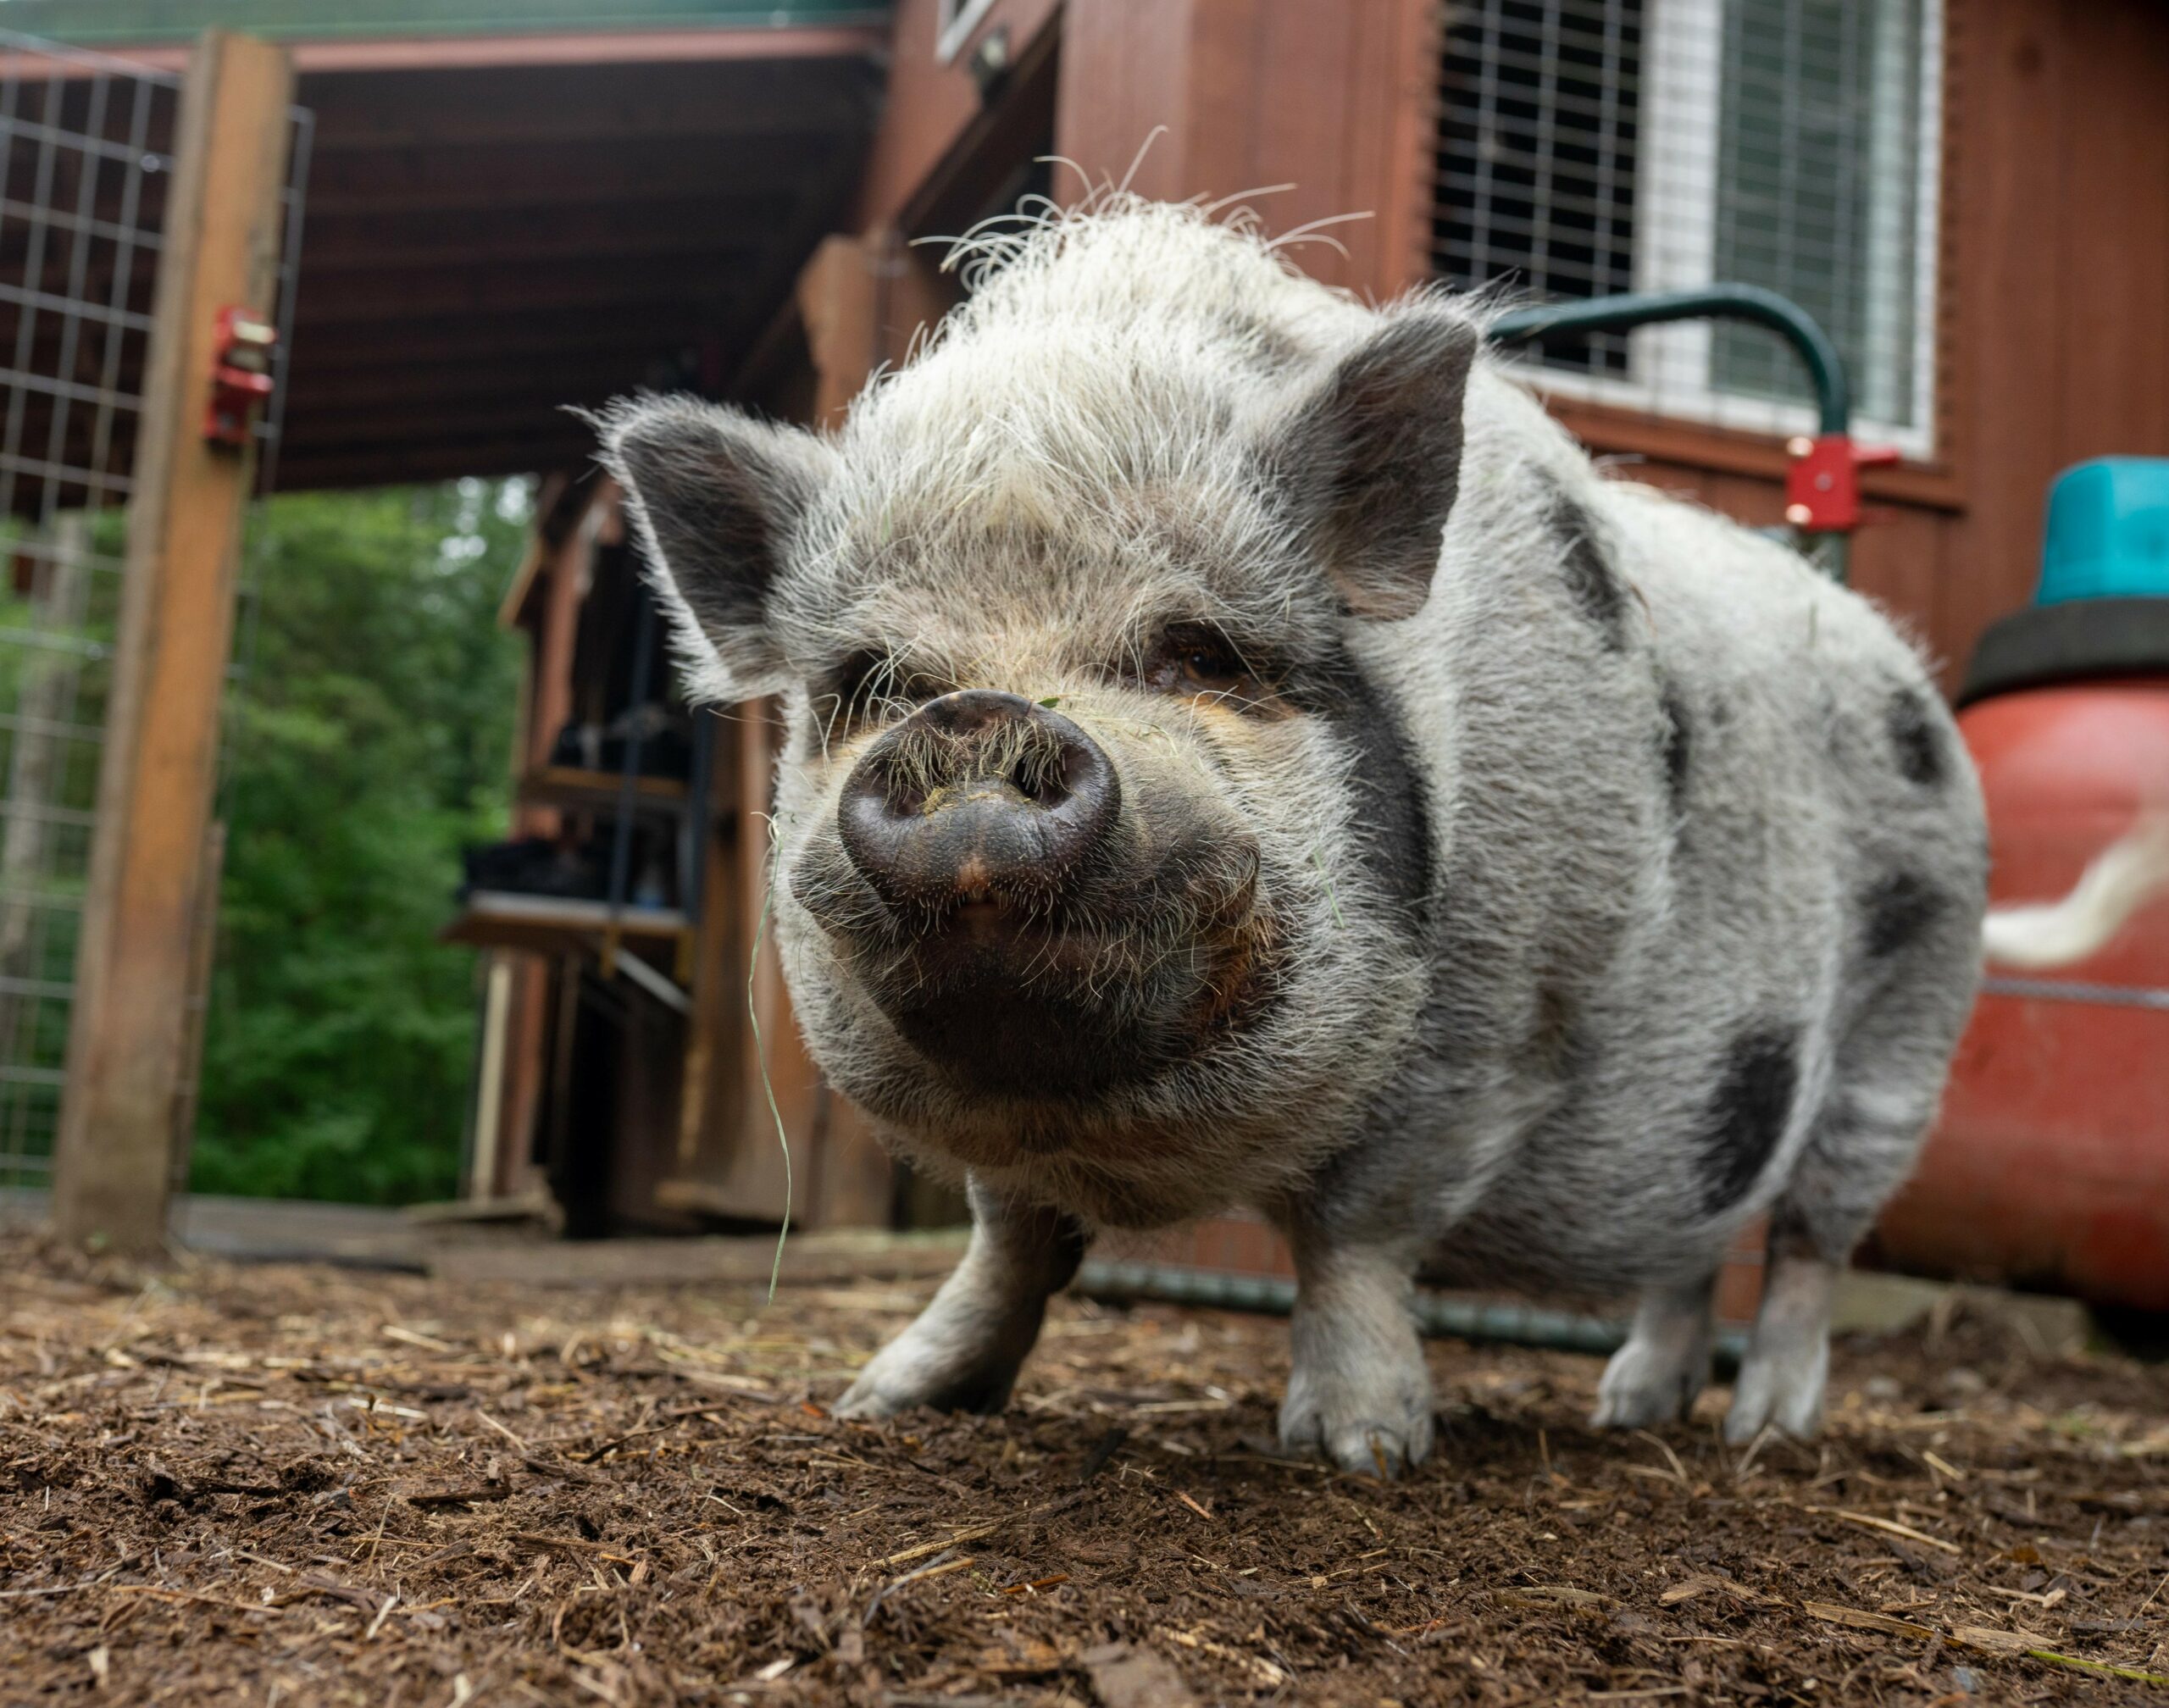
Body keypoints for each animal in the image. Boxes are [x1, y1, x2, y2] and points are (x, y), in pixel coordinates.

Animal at [597, 197, 2165, 1476]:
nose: (979, 722)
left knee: (1810, 1242)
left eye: (1202, 653)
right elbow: (1011, 1243)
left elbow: (1353, 1236)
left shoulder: (1493, 1024)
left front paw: (1361, 1452)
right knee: (1697, 1243)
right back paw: (1629, 1412)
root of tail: (1921, 689)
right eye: (874, 685)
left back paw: (1765, 1436)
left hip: (1911, 1022)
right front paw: (885, 1401)